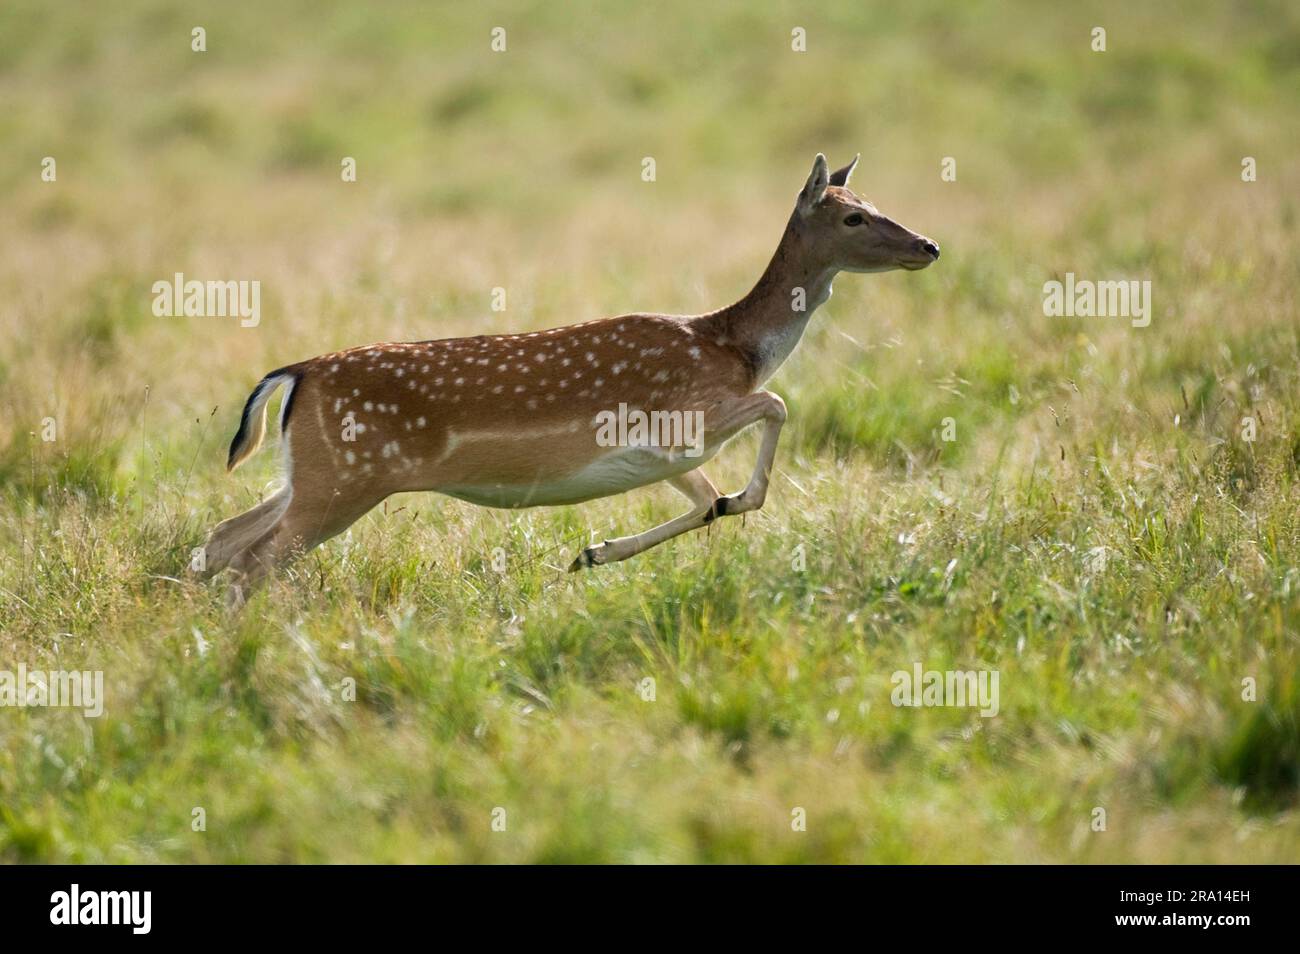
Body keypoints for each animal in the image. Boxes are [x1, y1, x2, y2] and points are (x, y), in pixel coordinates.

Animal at [201, 154, 939, 603]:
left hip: (310, 474)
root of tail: (294, 373)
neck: (732, 346)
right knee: (253, 559)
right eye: (853, 215)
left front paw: (593, 552)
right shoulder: (682, 418)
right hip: (346, 480)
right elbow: (776, 408)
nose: (928, 245)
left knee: (223, 539)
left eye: (873, 200)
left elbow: (706, 502)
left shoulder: (670, 454)